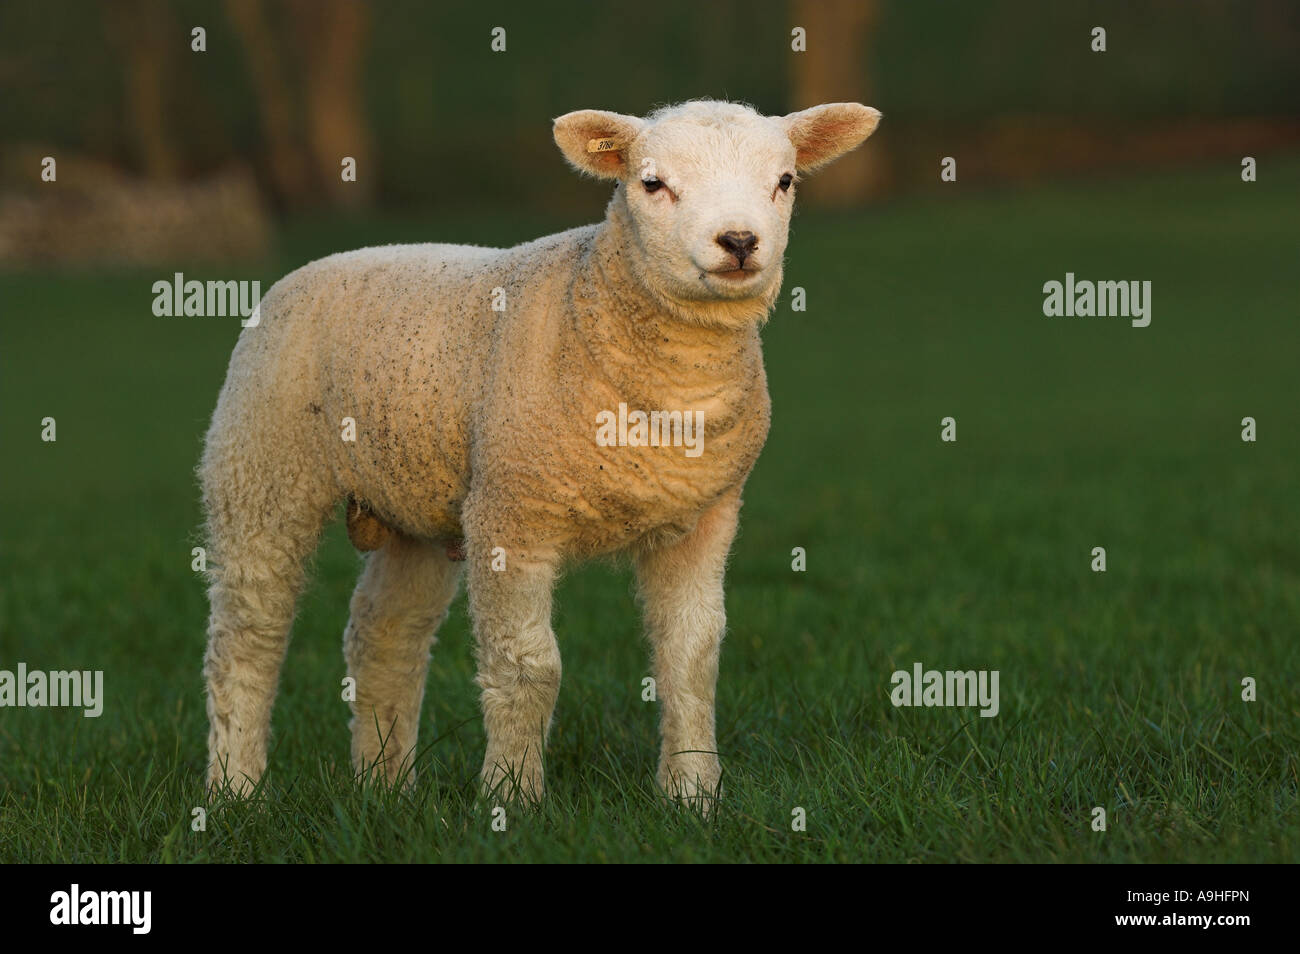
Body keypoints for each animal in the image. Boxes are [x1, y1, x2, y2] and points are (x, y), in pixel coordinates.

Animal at [200, 99, 881, 809]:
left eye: (785, 181)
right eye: (652, 183)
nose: (740, 242)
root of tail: (323, 263)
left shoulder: (704, 519)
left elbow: (691, 657)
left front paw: (692, 794)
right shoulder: (512, 514)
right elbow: (528, 665)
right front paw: (513, 797)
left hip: (416, 507)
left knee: (384, 636)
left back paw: (385, 788)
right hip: (260, 465)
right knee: (247, 636)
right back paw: (236, 788)